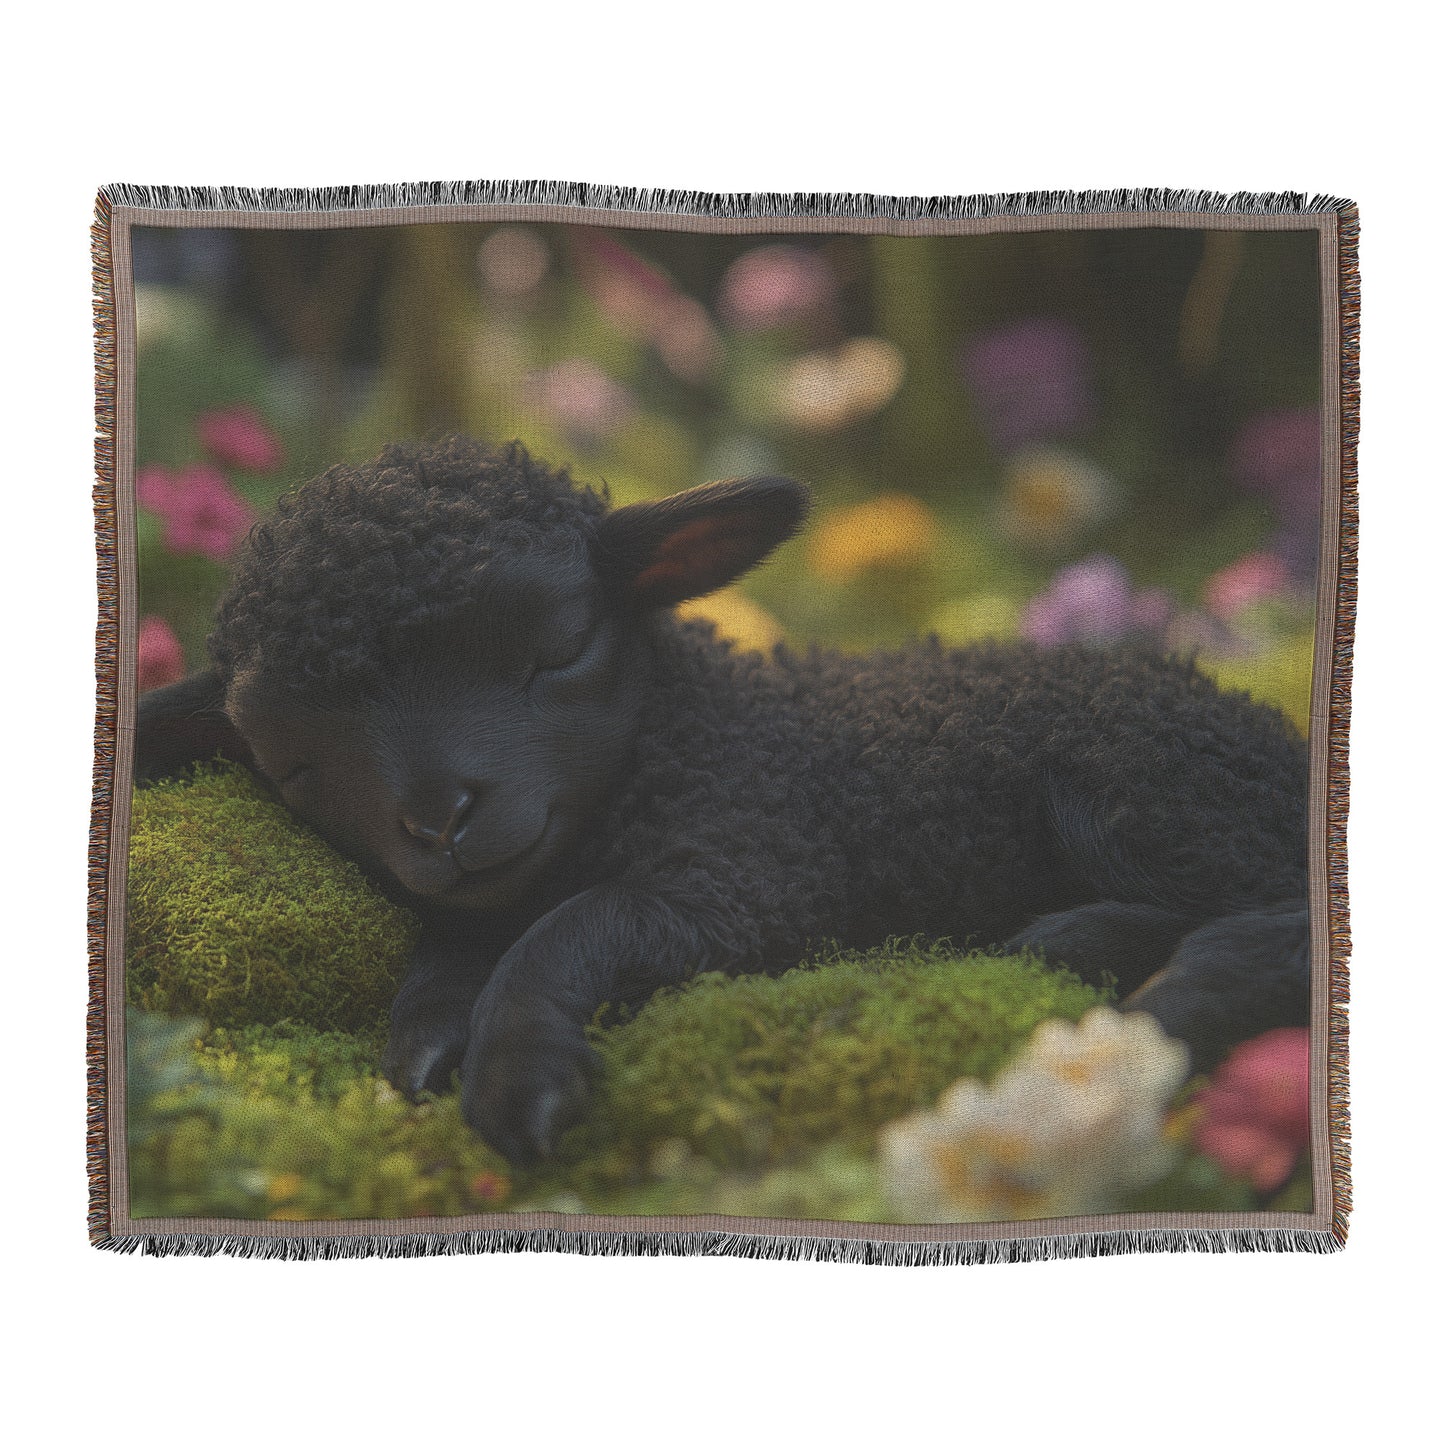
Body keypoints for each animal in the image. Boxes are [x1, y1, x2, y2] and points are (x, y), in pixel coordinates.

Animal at [137, 434, 1311, 1162]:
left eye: (560, 647)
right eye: (291, 763)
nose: (439, 819)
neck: (699, 730)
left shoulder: (755, 871)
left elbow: (574, 925)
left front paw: (518, 1073)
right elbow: (459, 942)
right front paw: (430, 1032)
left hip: (1147, 782)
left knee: (1278, 919)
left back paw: (1149, 1002)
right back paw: (1068, 939)